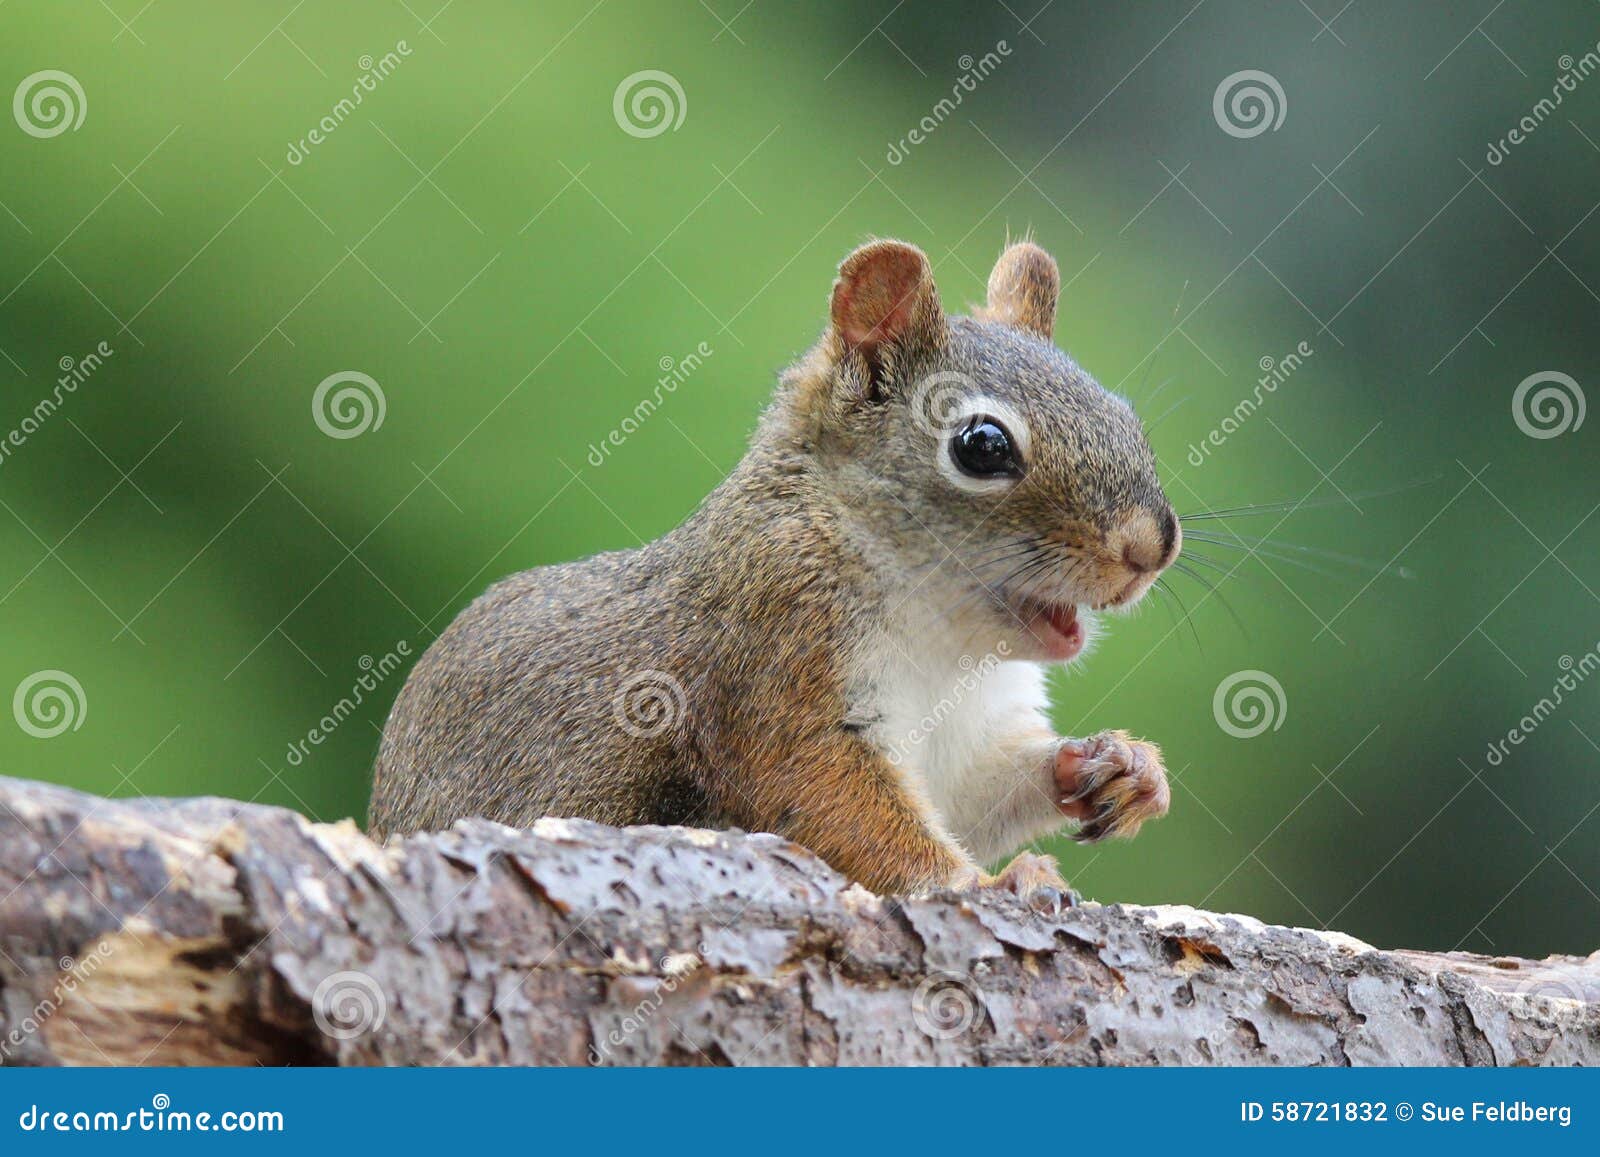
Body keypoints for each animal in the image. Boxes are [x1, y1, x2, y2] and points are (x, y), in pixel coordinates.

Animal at [369, 238, 1180, 905]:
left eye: (1124, 414)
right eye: (981, 445)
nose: (1152, 547)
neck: (946, 640)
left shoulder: (966, 730)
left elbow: (978, 791)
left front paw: (1121, 766)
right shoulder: (776, 664)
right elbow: (837, 804)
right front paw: (989, 882)